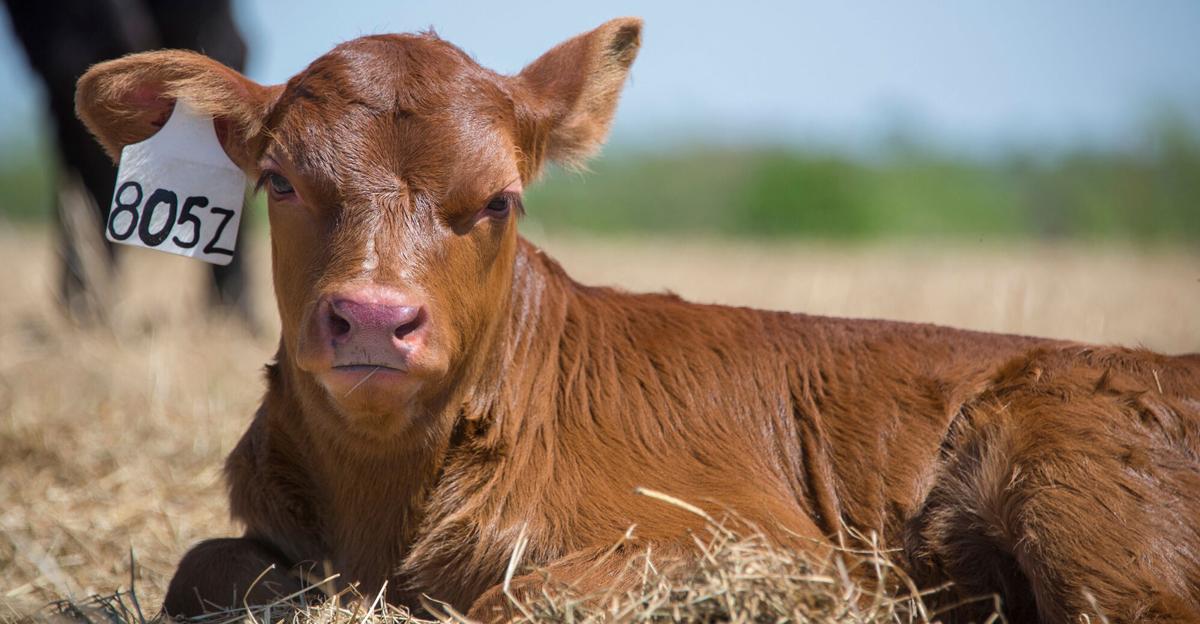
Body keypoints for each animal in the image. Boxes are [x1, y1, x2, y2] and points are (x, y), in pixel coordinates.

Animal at [74, 17, 1200, 623]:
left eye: (499, 201)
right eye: (279, 181)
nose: (373, 319)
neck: (385, 514)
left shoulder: (775, 551)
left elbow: (514, 598)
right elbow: (201, 565)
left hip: (1079, 477)